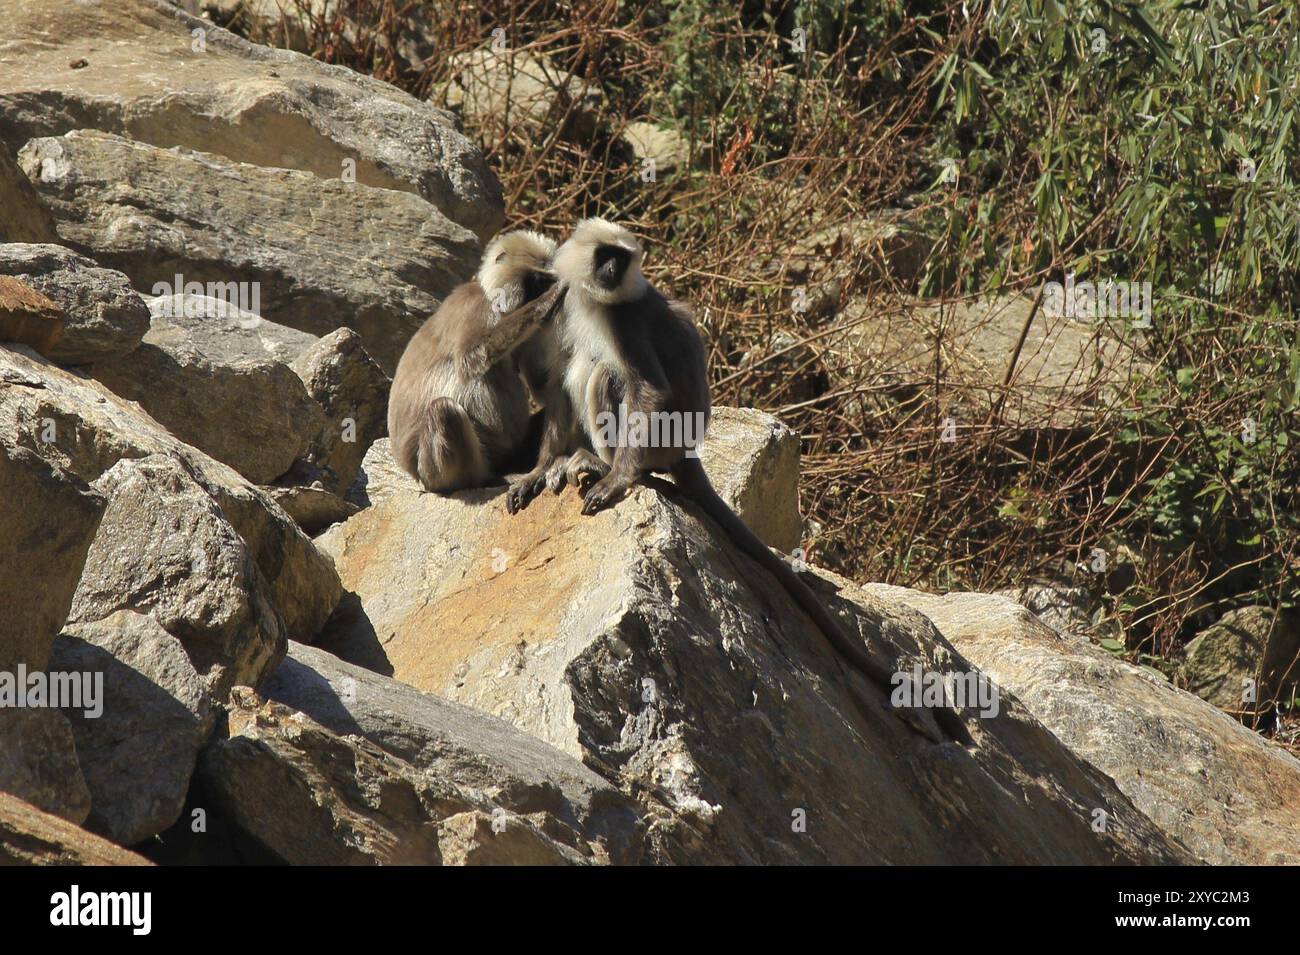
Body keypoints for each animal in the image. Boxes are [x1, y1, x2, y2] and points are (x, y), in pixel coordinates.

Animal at [387, 230, 566, 493]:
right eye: (538, 280)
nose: (549, 287)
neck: (494, 297)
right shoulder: (475, 305)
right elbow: (471, 358)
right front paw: (548, 300)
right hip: (434, 472)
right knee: (443, 409)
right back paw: (485, 480)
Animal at [508, 218, 972, 744]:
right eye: (606, 255)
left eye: (622, 259)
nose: (611, 271)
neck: (595, 301)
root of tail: (687, 451)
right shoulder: (565, 309)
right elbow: (556, 384)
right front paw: (535, 471)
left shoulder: (624, 321)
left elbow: (649, 389)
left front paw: (617, 480)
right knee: (582, 369)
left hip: (660, 439)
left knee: (604, 374)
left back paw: (606, 465)